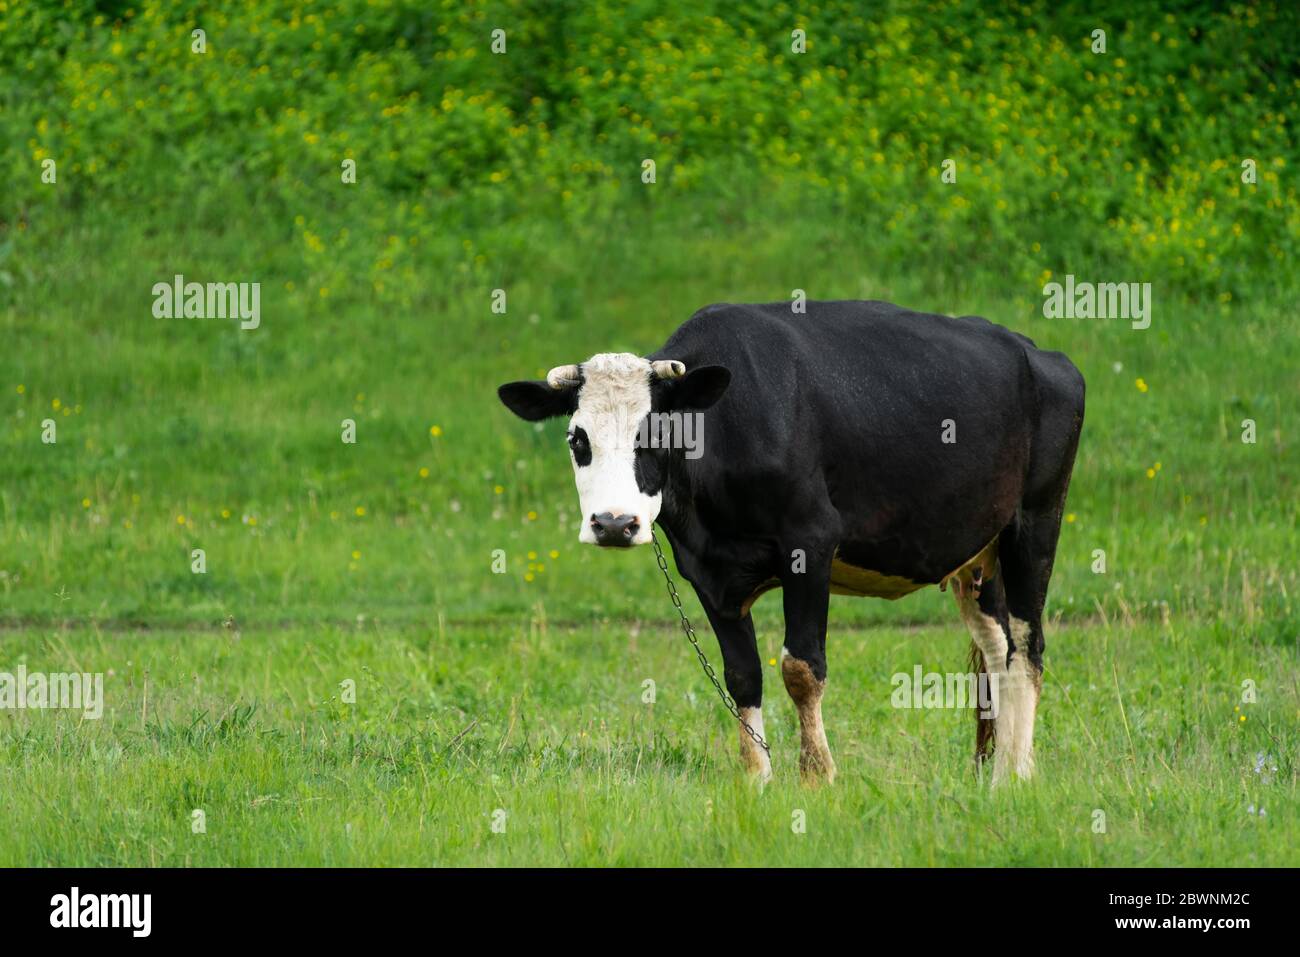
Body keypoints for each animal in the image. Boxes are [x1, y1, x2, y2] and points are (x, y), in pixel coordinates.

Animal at [498, 300, 1084, 786]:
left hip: (1035, 523)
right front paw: (757, 778)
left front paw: (816, 774)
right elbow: (742, 674)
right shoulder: (706, 570)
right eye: (577, 438)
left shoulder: (812, 540)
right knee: (998, 651)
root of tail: (1037, 352)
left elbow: (801, 668)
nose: (615, 524)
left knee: (1028, 649)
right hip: (978, 556)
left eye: (658, 433)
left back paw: (1017, 776)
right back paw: (1001, 772)